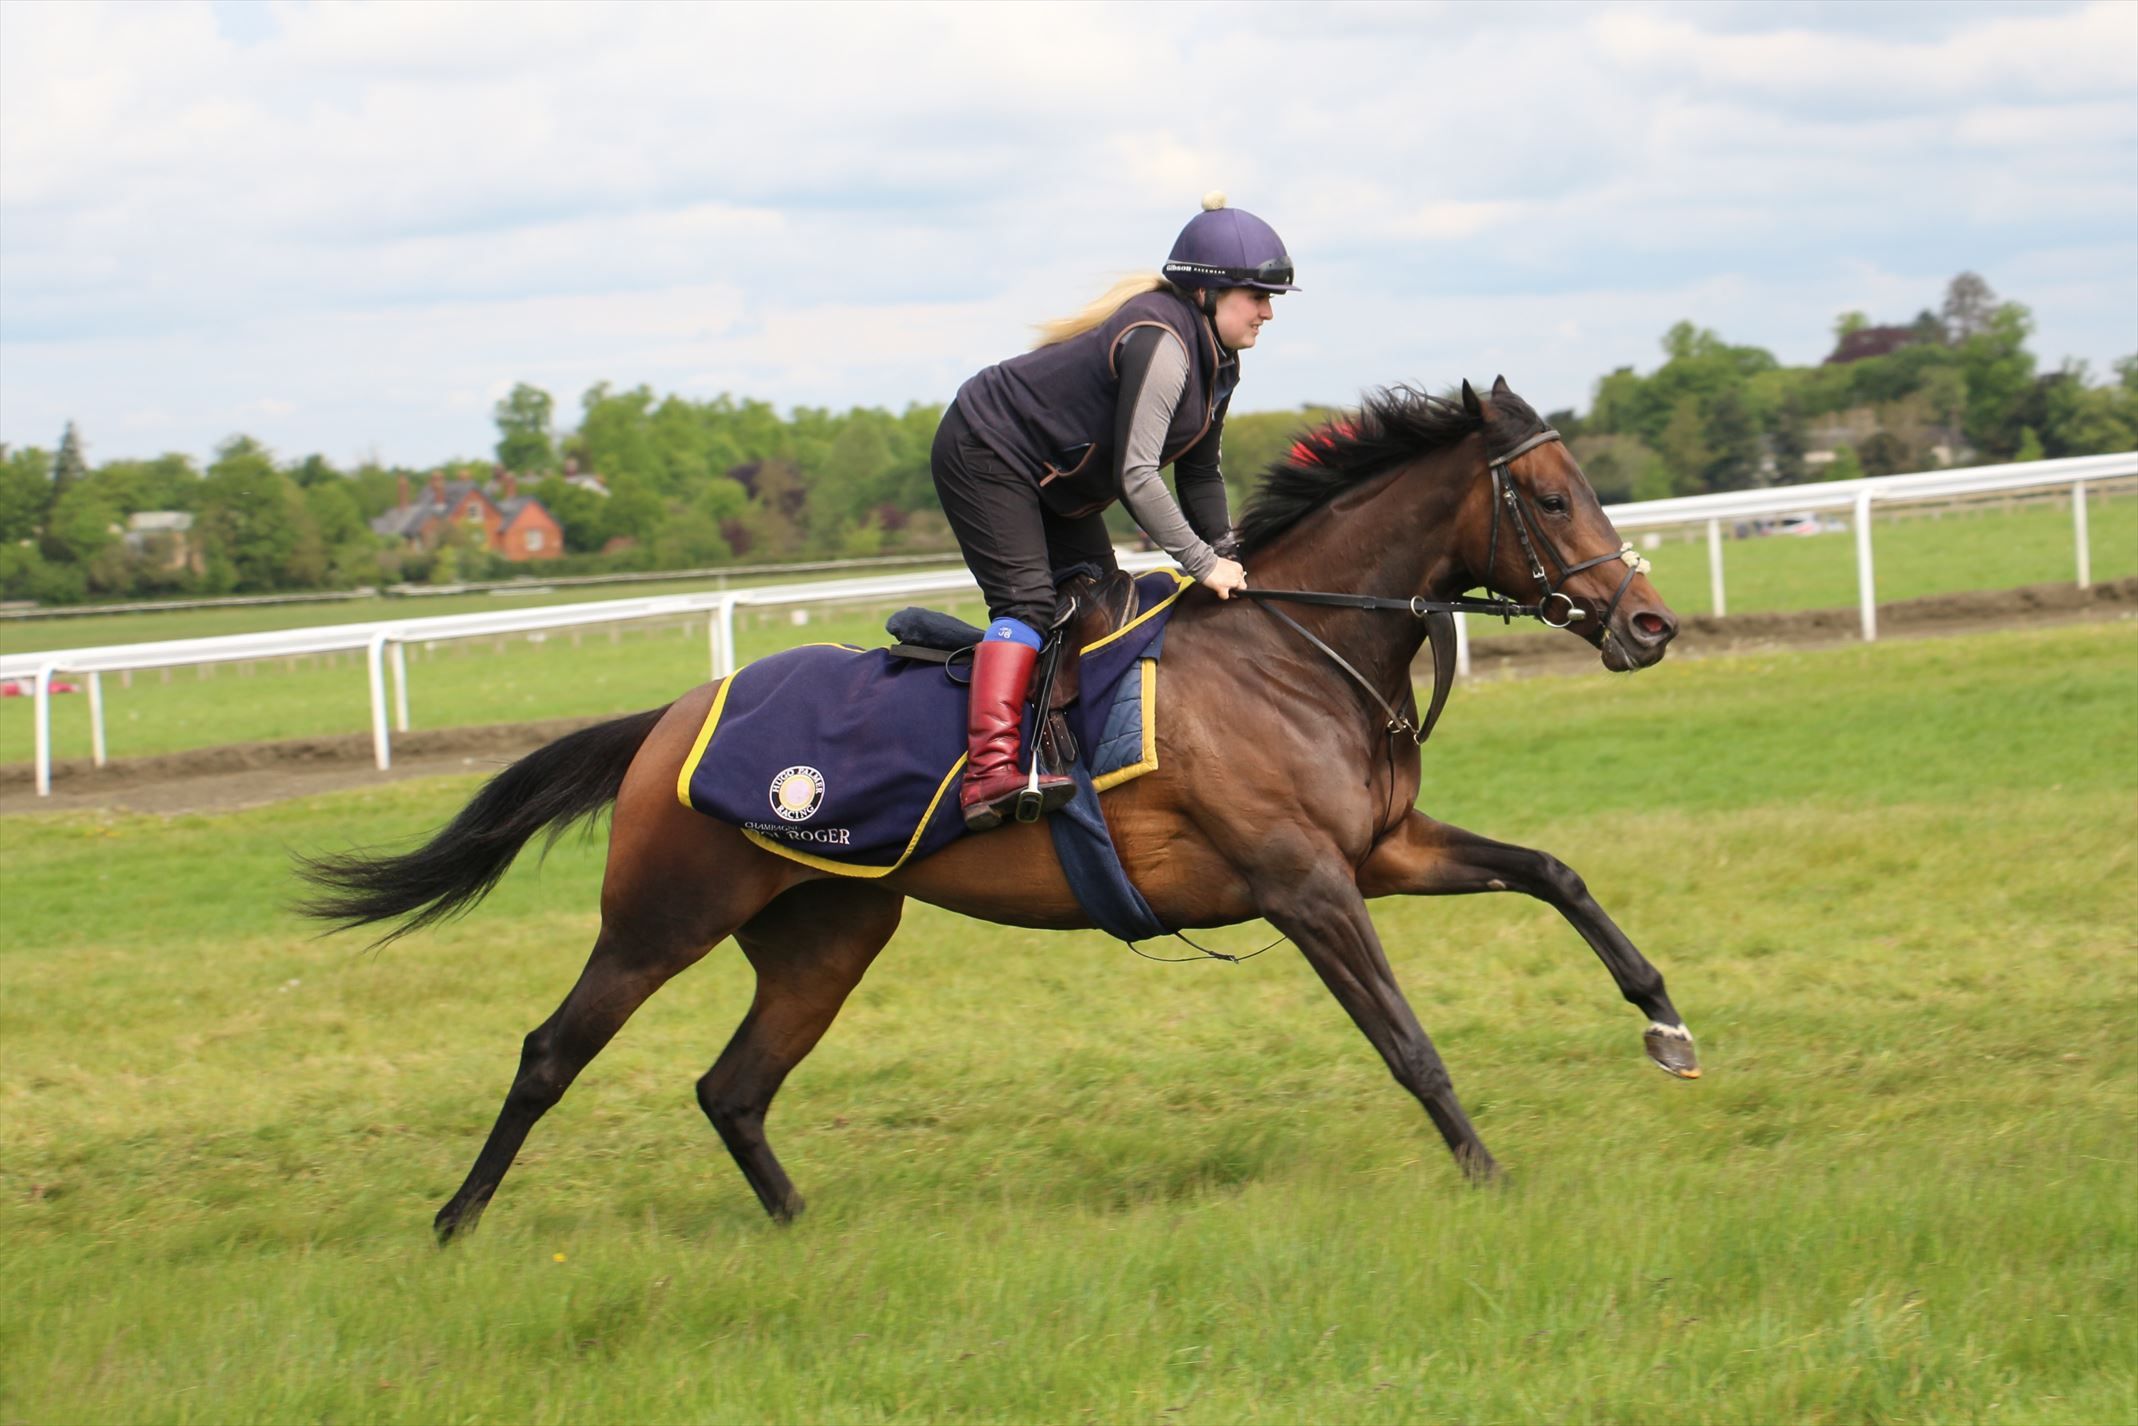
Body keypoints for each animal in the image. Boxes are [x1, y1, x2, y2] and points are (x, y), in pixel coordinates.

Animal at [299, 376, 1697, 1243]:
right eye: (1553, 496)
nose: (1649, 624)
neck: (1294, 647)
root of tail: (663, 720)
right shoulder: (1305, 884)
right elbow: (1406, 1042)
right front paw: (1489, 1174)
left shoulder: (1382, 850)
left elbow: (1554, 871)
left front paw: (1664, 1022)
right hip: (662, 916)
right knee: (552, 1052)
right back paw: (452, 1224)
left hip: (826, 935)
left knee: (731, 1088)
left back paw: (803, 1232)